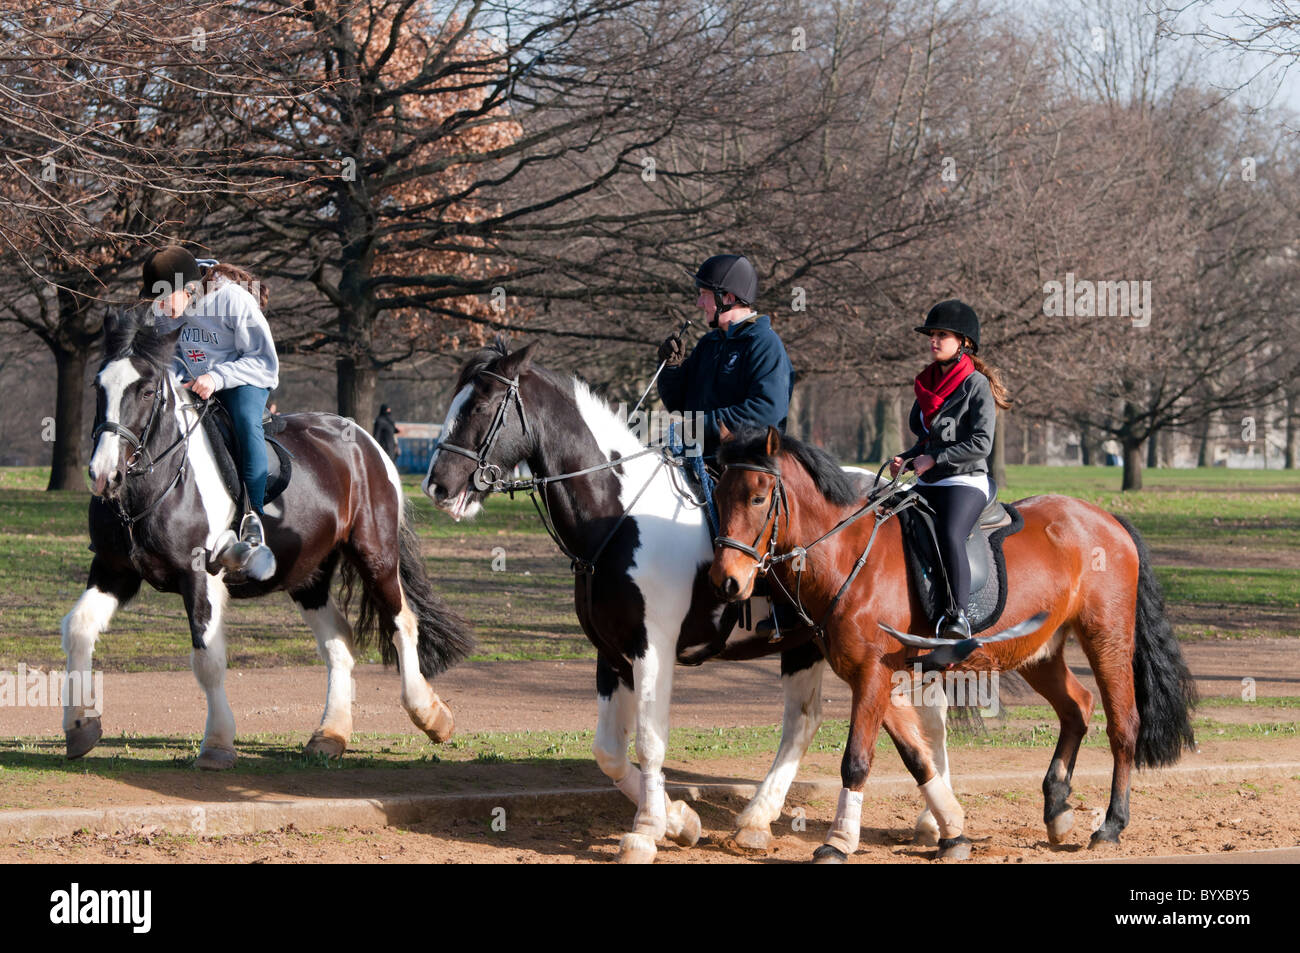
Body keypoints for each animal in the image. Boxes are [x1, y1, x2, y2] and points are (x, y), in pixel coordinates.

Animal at [64, 306, 472, 768]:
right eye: (99, 385)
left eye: (148, 390)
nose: (103, 474)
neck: (151, 487)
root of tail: (365, 443)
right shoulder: (114, 571)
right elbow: (77, 628)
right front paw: (80, 726)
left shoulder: (200, 577)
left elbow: (208, 660)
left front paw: (217, 744)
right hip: (308, 575)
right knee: (339, 643)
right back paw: (330, 734)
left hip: (376, 556)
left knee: (402, 622)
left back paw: (430, 715)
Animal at [419, 339, 961, 863]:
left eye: (481, 405)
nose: (437, 486)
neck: (621, 515)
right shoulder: (611, 653)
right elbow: (609, 752)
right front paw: (679, 820)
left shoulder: (652, 649)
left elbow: (650, 740)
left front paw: (646, 831)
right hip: (809, 642)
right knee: (811, 720)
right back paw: (764, 819)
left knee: (920, 719)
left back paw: (931, 821)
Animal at [709, 426, 1198, 863]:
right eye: (717, 495)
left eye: (757, 498)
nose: (724, 580)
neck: (850, 552)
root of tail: (1107, 519)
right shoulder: (881, 677)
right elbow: (917, 757)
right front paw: (952, 831)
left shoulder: (872, 674)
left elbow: (857, 760)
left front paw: (839, 842)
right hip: (1038, 653)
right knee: (1077, 706)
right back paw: (1058, 808)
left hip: (1107, 637)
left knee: (1123, 725)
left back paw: (1111, 825)